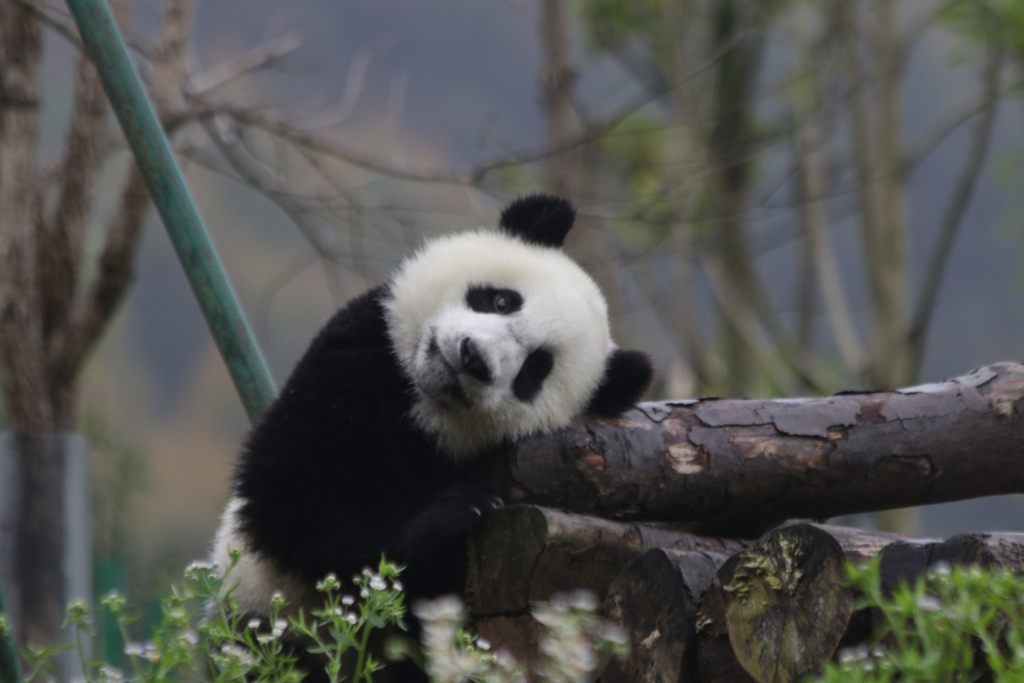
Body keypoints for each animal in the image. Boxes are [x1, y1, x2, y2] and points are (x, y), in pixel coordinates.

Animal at [209, 194, 652, 650]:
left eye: (535, 368)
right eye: (501, 301)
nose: (473, 357)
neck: (427, 409)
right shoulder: (357, 354)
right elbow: (294, 497)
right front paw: (459, 511)